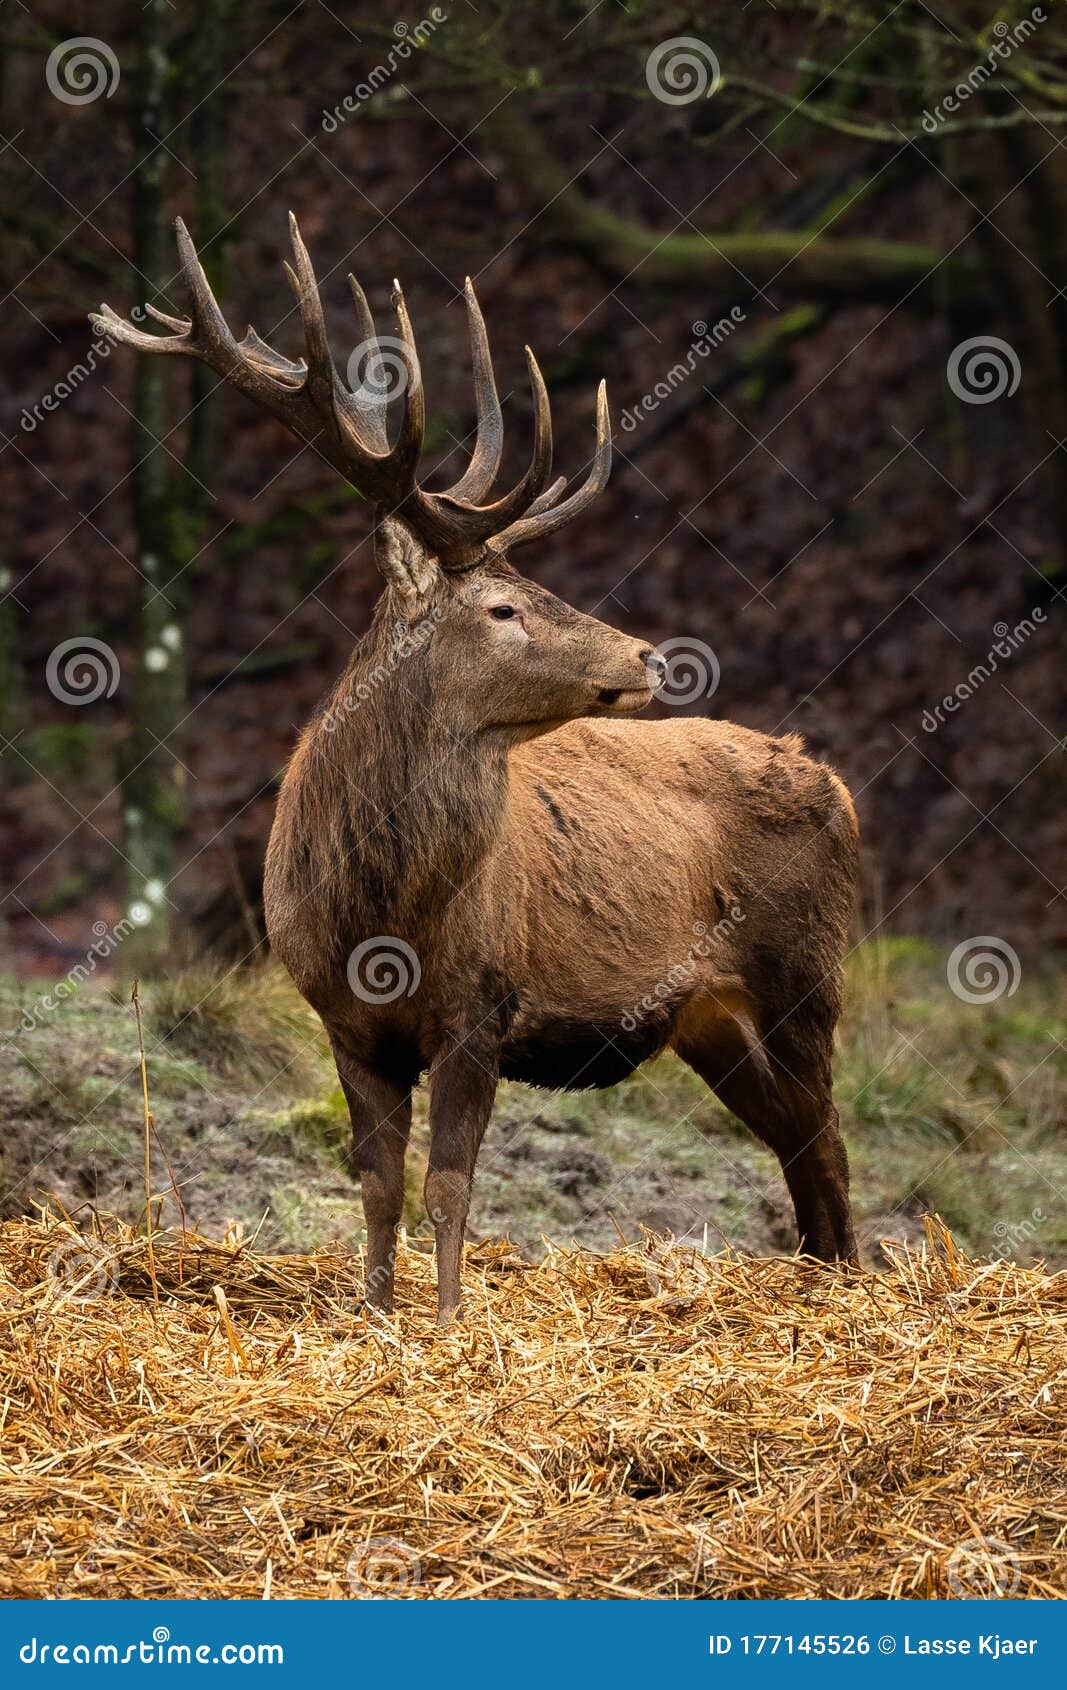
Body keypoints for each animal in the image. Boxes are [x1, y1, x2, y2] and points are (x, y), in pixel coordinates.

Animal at [94, 214, 860, 1325]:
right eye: (502, 605)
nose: (646, 656)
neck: (381, 918)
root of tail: (836, 784)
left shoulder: (483, 1006)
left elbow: (450, 1179)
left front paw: (450, 1319)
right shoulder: (342, 1022)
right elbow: (377, 1180)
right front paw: (375, 1313)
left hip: (804, 970)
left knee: (828, 1145)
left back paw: (846, 1290)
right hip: (709, 1017)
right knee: (800, 1148)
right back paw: (816, 1285)